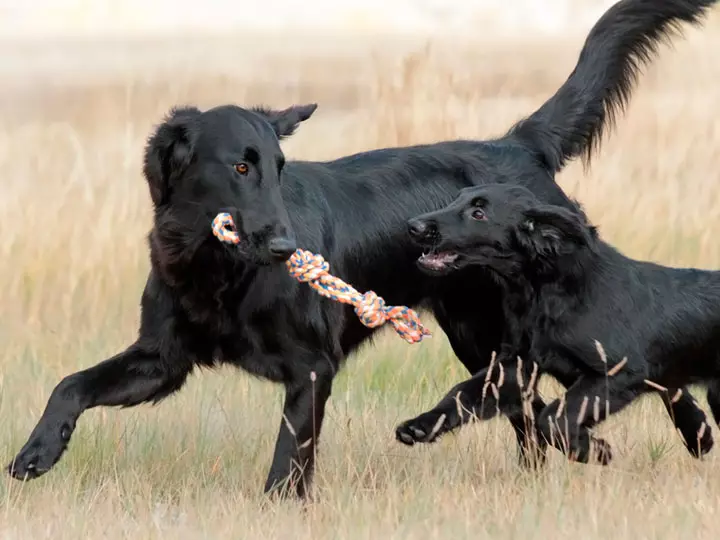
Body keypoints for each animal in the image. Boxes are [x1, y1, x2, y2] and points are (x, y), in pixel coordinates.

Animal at [396, 186, 716, 464]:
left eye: (479, 213)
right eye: (456, 199)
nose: (413, 226)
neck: (545, 292)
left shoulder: (619, 372)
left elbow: (551, 417)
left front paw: (593, 450)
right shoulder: (515, 366)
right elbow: (462, 393)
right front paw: (420, 425)